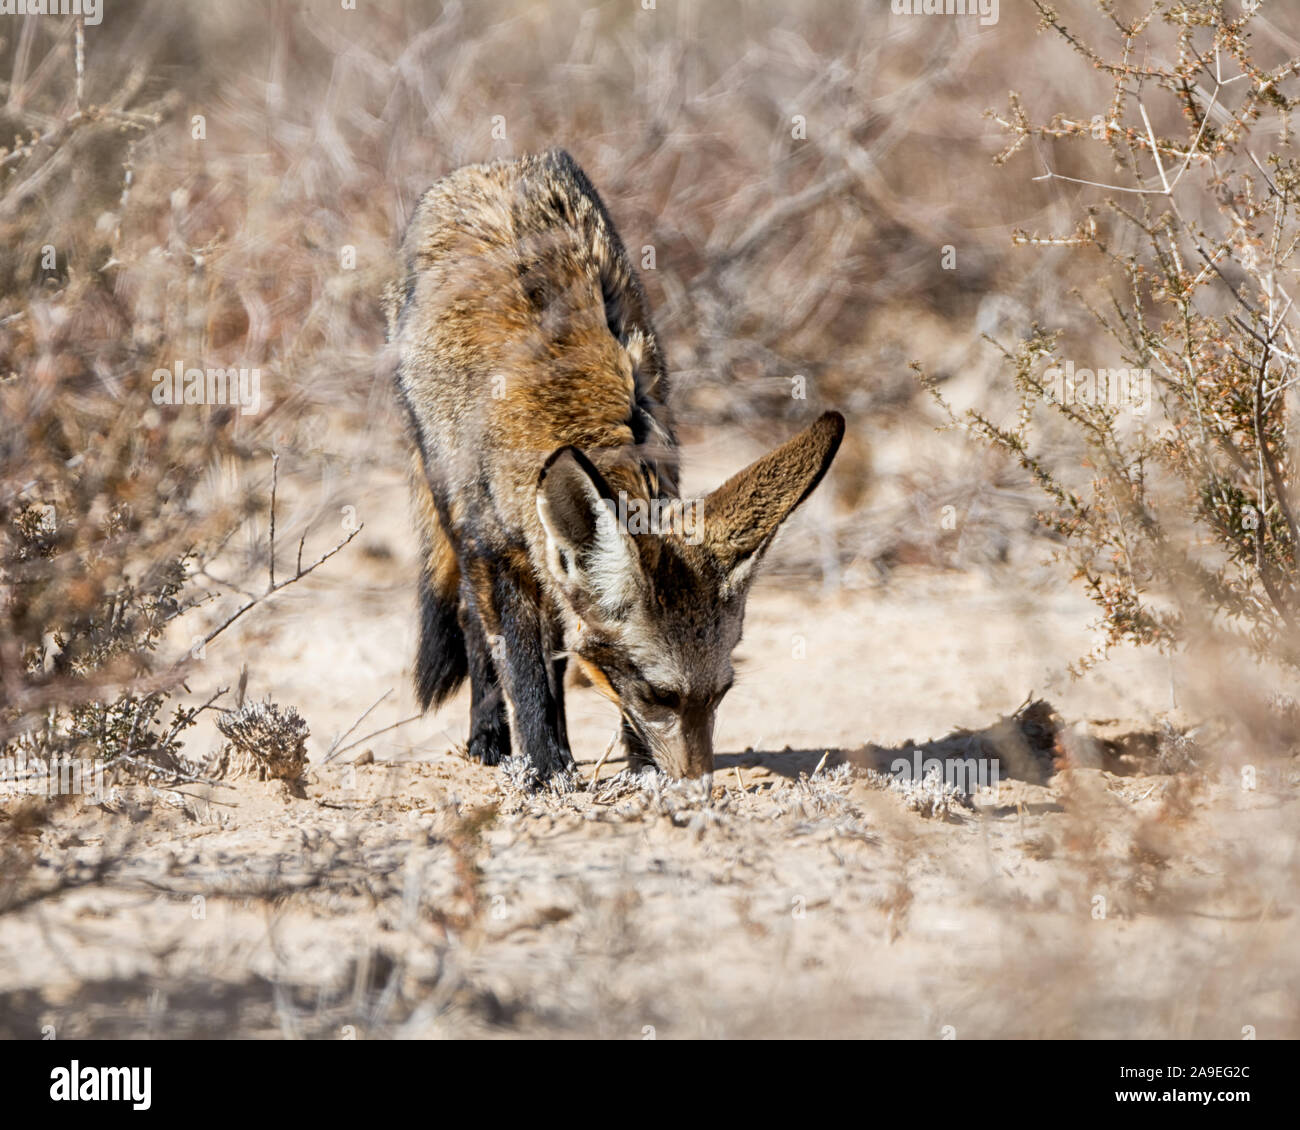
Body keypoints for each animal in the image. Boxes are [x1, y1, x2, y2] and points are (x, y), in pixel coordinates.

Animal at [385, 148, 843, 782]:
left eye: (720, 695)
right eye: (659, 694)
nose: (697, 784)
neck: (567, 407)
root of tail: (497, 163)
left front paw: (637, 768)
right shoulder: (497, 552)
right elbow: (524, 671)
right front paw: (545, 770)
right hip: (456, 513)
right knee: (477, 631)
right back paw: (489, 737)